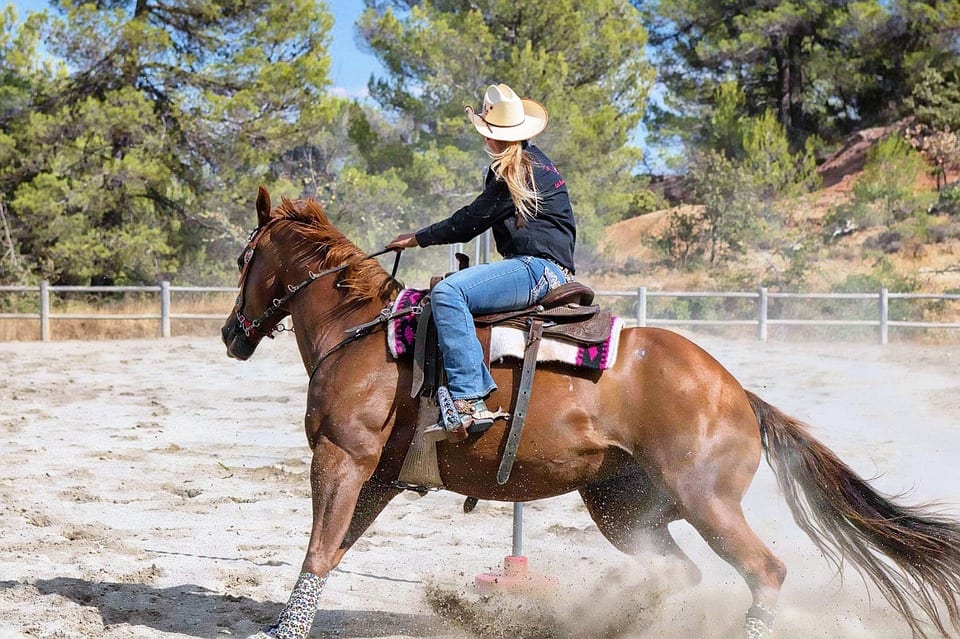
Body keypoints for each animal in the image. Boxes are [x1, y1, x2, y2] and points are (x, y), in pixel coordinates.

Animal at [221, 186, 960, 639]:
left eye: (242, 257)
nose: (232, 333)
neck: (360, 329)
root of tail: (738, 393)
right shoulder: (377, 476)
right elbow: (332, 550)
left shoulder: (342, 459)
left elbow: (319, 548)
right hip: (622, 505)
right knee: (679, 572)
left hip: (706, 503)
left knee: (764, 572)